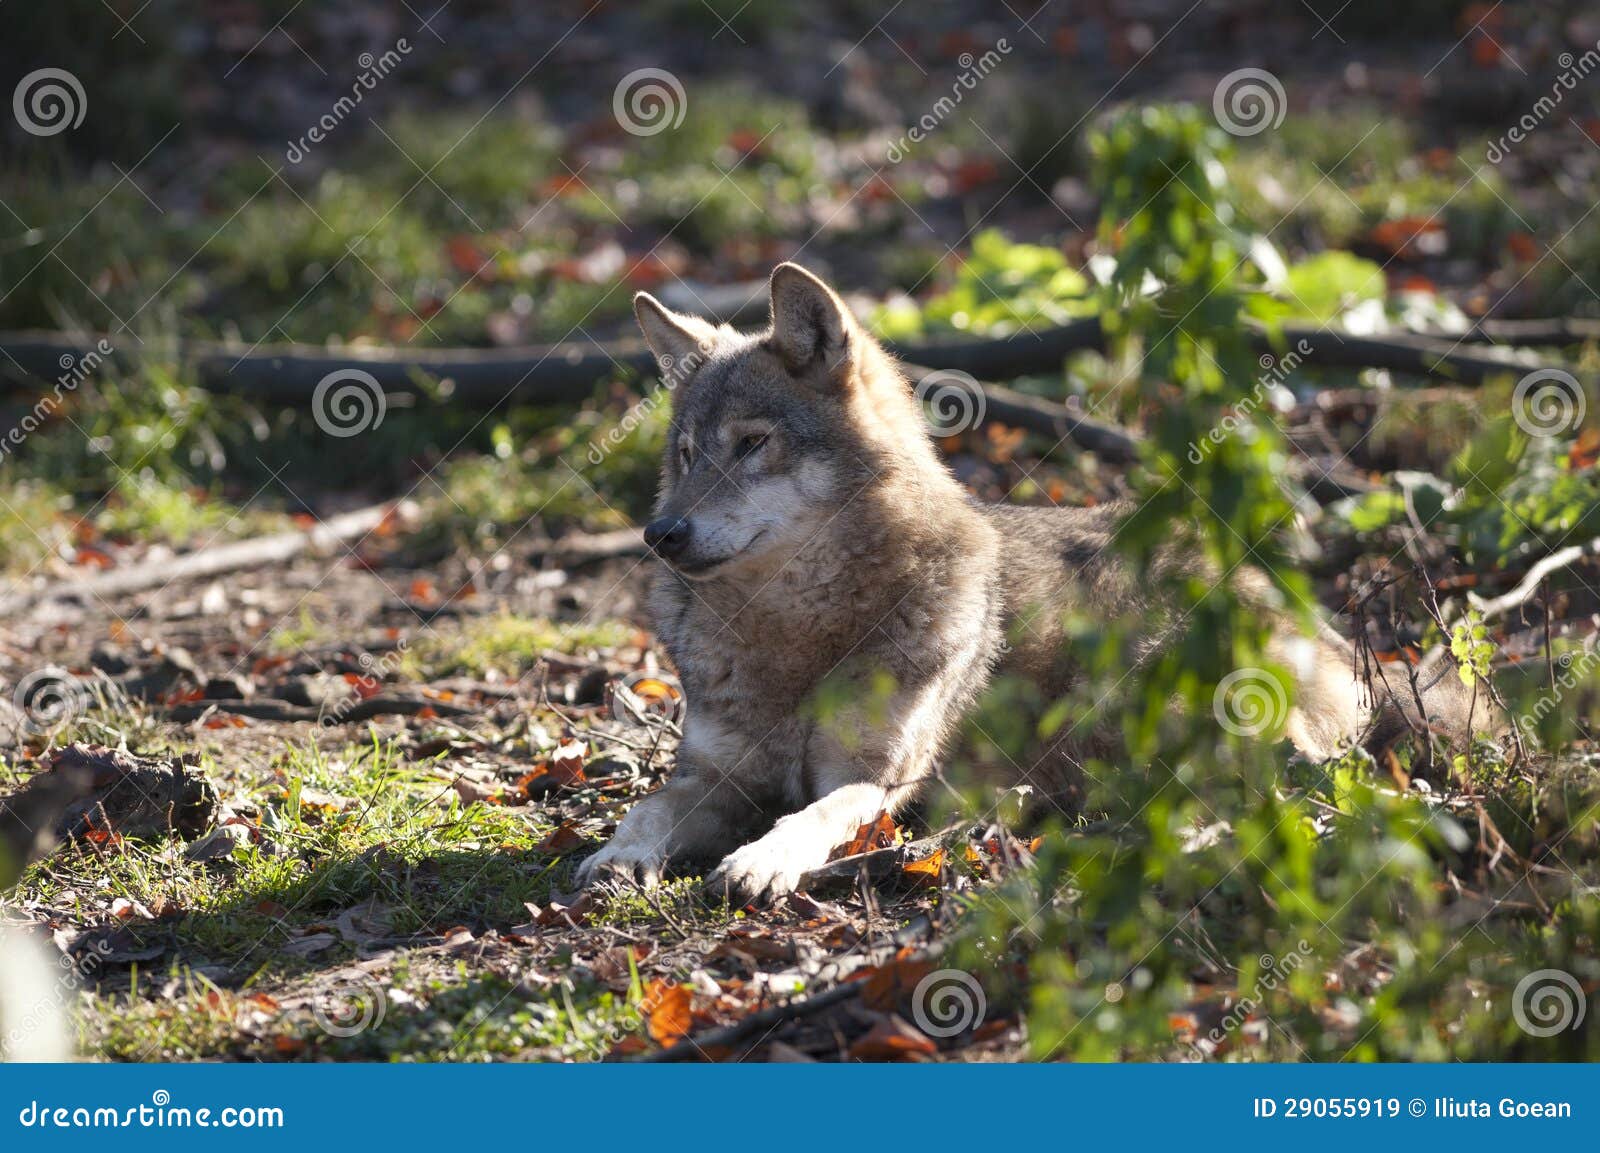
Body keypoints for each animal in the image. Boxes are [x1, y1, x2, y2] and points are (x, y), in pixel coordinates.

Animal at [573, 263, 1485, 903]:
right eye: (687, 453)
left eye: (753, 443)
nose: (660, 534)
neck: (798, 633)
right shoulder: (715, 777)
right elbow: (648, 806)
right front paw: (618, 853)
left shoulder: (876, 781)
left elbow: (812, 813)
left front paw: (761, 859)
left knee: (1285, 786)